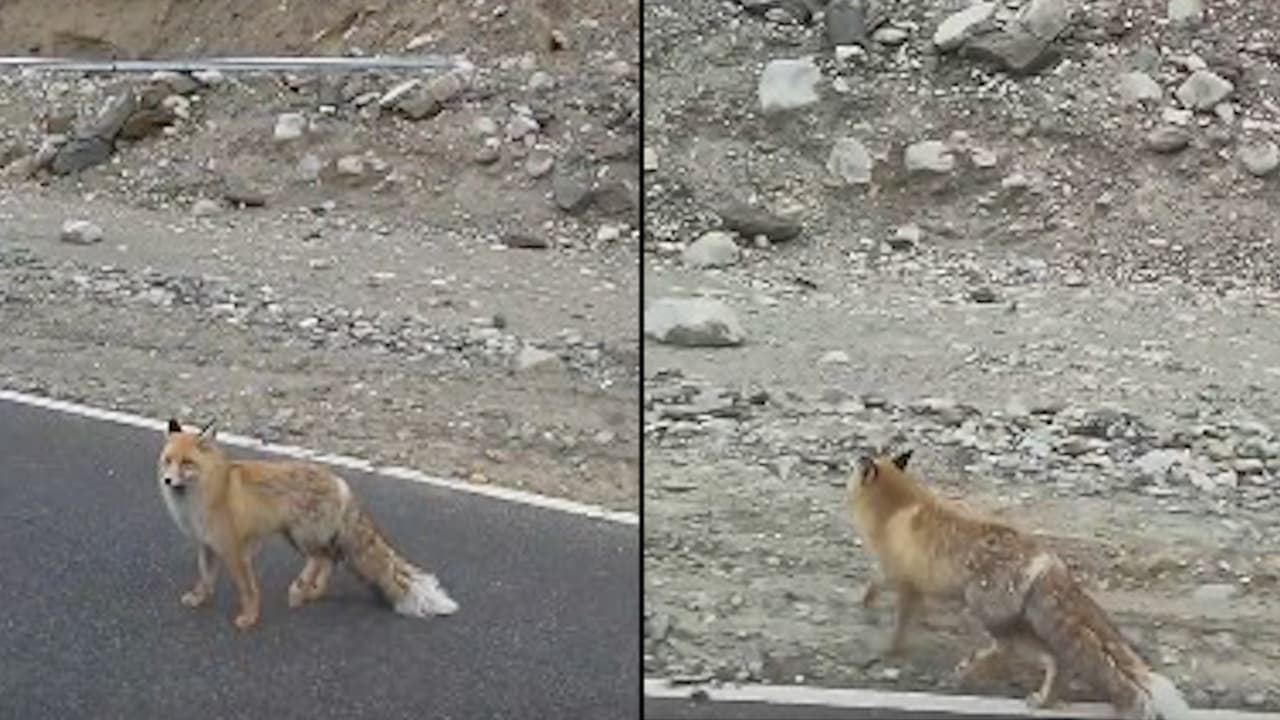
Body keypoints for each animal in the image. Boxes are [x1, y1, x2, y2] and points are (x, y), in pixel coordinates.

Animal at [157, 418, 458, 630]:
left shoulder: (236, 551)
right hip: (298, 536)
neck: (206, 495)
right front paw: (199, 599)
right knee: (330, 559)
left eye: (187, 463)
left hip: (300, 535)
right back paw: (310, 592)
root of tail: (340, 483)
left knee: (321, 558)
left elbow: (248, 590)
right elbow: (205, 579)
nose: (167, 481)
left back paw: (300, 590)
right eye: (168, 461)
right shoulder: (207, 546)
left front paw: (249, 618)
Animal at [846, 450, 1190, 720]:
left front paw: (889, 650)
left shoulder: (905, 583)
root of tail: (1047, 558)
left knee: (1009, 651)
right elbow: (873, 586)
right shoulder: (900, 578)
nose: (848, 479)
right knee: (1055, 660)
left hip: (985, 613)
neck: (895, 509)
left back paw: (970, 672)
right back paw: (1042, 698)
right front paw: (865, 605)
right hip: (1016, 623)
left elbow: (897, 623)